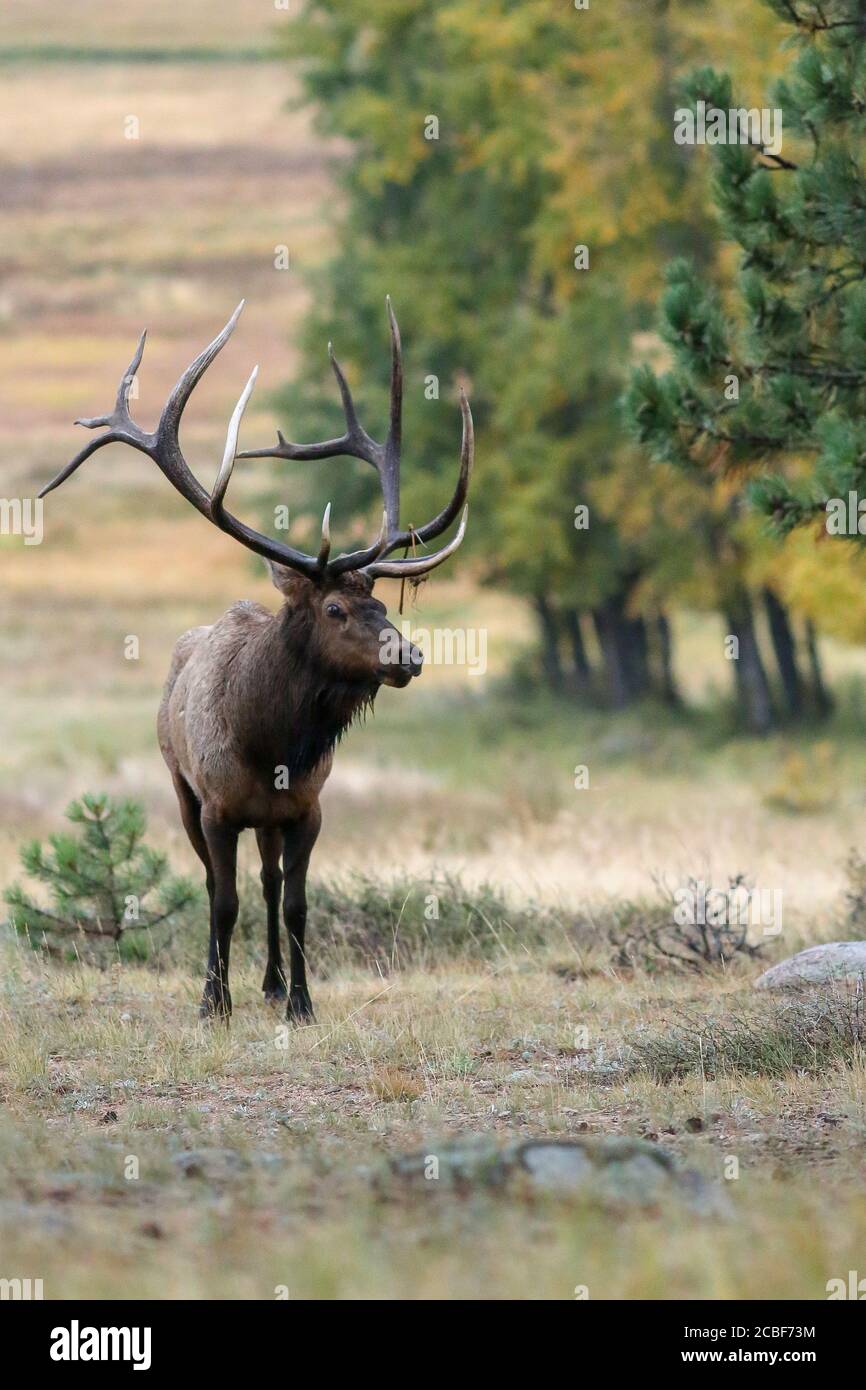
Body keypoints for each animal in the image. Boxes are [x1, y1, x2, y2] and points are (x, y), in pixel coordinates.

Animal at [39, 299, 472, 1023]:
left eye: (382, 603)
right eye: (335, 608)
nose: (408, 656)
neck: (269, 742)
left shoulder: (307, 808)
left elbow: (295, 905)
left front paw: (300, 1002)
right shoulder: (214, 807)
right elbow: (221, 900)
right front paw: (213, 1001)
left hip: (269, 822)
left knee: (269, 884)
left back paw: (269, 982)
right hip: (182, 789)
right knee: (222, 883)